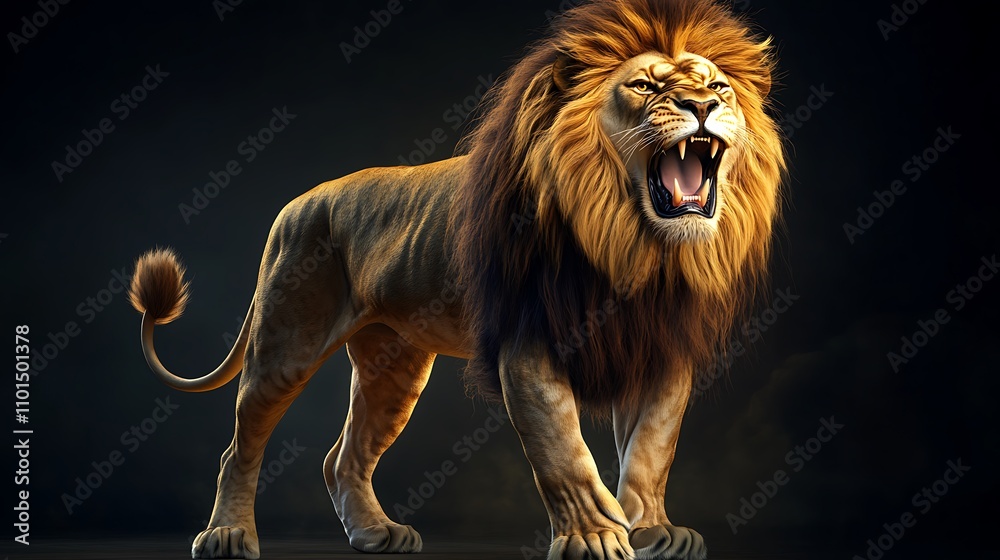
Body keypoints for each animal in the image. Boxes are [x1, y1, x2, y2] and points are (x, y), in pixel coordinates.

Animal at [127, 1, 784, 559]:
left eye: (718, 86)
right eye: (645, 86)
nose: (704, 106)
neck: (633, 243)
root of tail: (296, 204)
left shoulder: (661, 351)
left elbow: (649, 451)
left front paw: (651, 530)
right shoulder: (527, 346)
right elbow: (563, 450)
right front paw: (595, 535)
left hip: (394, 368)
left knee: (342, 457)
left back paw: (375, 534)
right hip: (285, 344)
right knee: (240, 446)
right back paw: (227, 535)